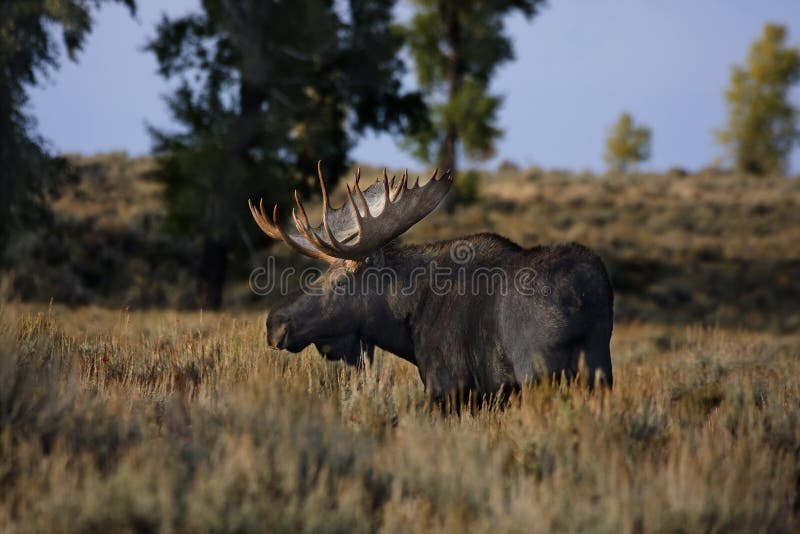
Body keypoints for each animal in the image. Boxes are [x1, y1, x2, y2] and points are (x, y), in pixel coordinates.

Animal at [249, 162, 613, 400]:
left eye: (340, 282)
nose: (274, 323)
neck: (404, 324)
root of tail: (585, 300)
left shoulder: (447, 383)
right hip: (598, 370)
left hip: (537, 371)